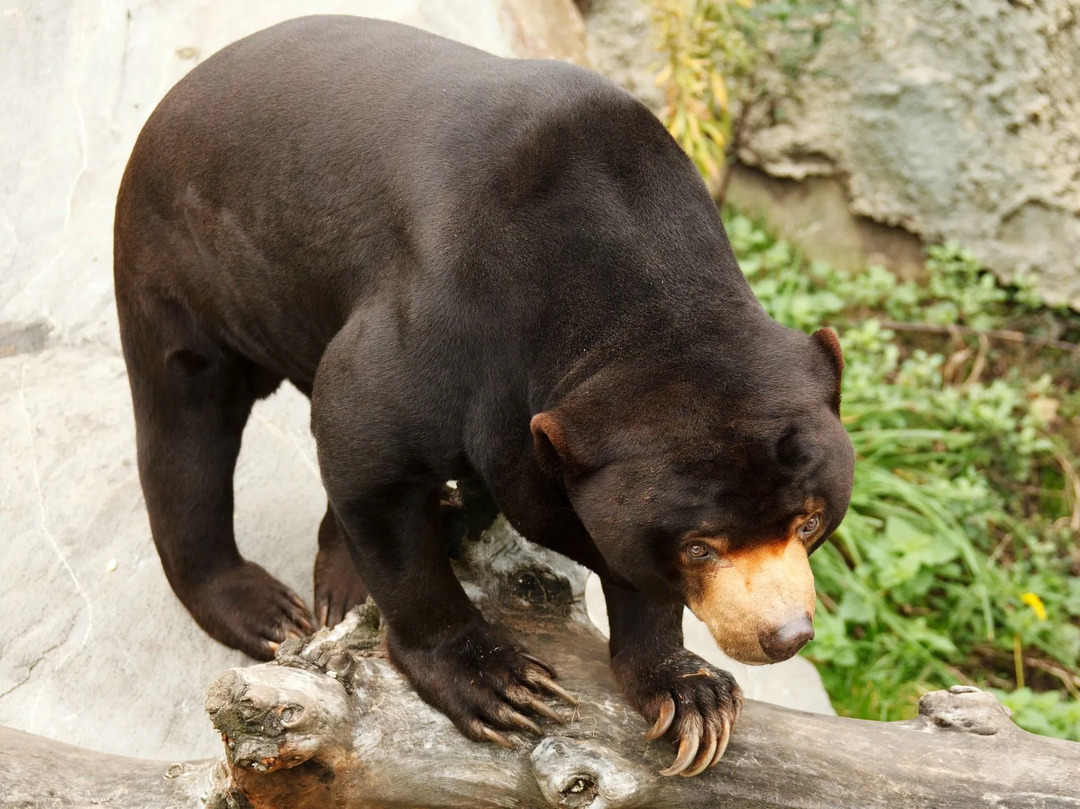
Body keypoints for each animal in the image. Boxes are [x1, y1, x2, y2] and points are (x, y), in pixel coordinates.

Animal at [113, 11, 855, 769]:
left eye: (808, 521)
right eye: (699, 547)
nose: (785, 635)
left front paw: (690, 694)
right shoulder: (452, 319)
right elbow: (360, 439)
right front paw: (498, 682)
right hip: (177, 261)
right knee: (184, 429)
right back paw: (265, 608)